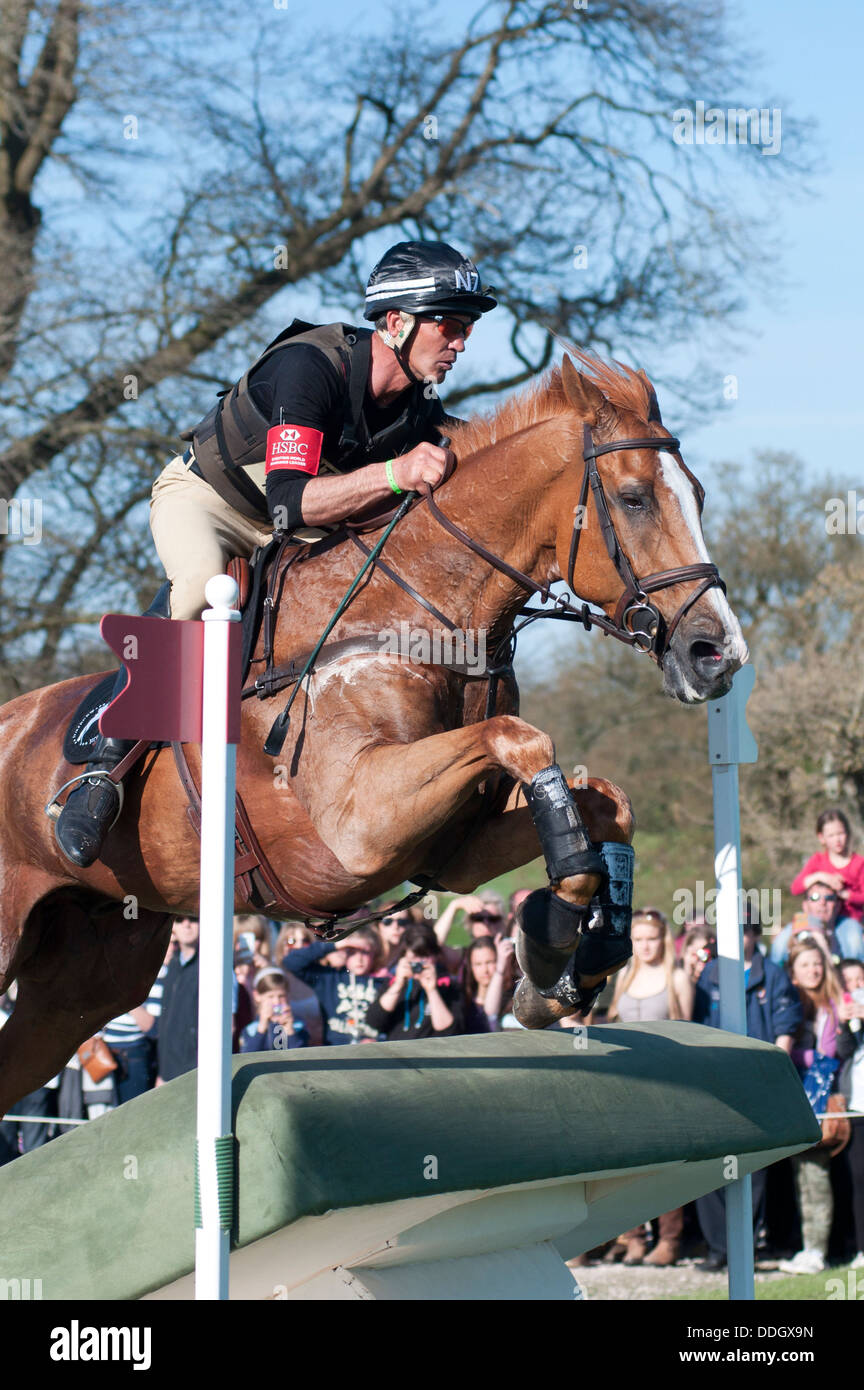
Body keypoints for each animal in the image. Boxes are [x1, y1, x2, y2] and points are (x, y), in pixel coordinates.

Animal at [0, 351, 747, 1115]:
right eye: (634, 498)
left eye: (699, 496)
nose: (717, 654)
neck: (419, 610)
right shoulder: (359, 825)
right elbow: (522, 739)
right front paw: (557, 936)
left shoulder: (449, 849)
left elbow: (606, 801)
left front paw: (560, 966)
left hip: (84, 986)